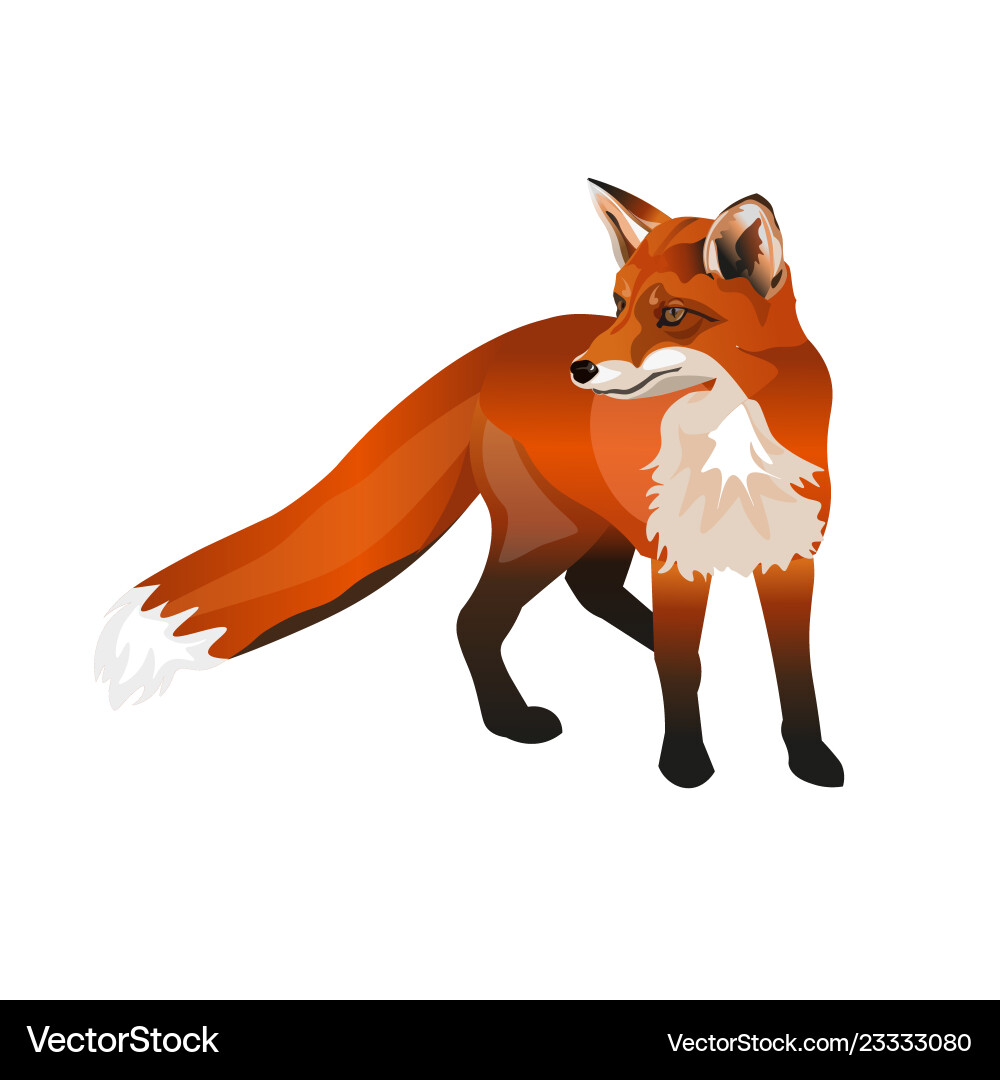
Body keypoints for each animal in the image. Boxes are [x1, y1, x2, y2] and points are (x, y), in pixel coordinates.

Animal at [96, 180, 843, 788]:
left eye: (673, 316)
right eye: (617, 304)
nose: (580, 370)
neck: (733, 456)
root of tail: (496, 348)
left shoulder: (792, 558)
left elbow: (796, 673)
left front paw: (810, 759)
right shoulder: (677, 558)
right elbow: (682, 673)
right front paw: (685, 765)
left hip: (594, 526)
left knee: (591, 591)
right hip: (551, 531)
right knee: (477, 619)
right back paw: (513, 720)